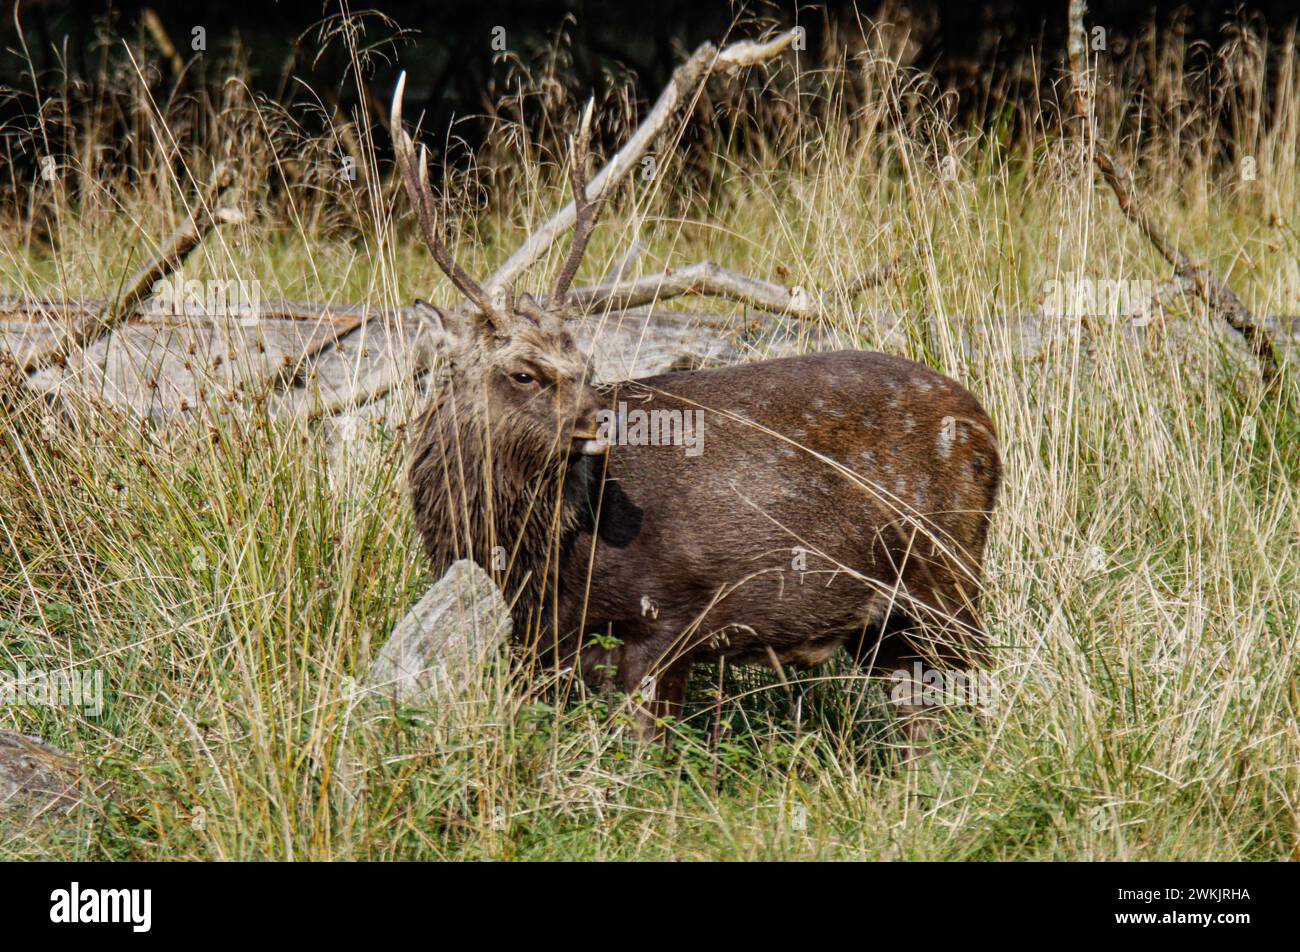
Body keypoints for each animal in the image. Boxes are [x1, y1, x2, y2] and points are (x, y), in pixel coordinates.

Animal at [392, 77, 1002, 755]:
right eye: (523, 372)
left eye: (586, 362)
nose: (600, 423)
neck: (536, 554)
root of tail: (987, 428)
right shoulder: (537, 645)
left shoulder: (670, 613)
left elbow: (645, 752)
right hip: (893, 625)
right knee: (917, 714)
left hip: (949, 576)